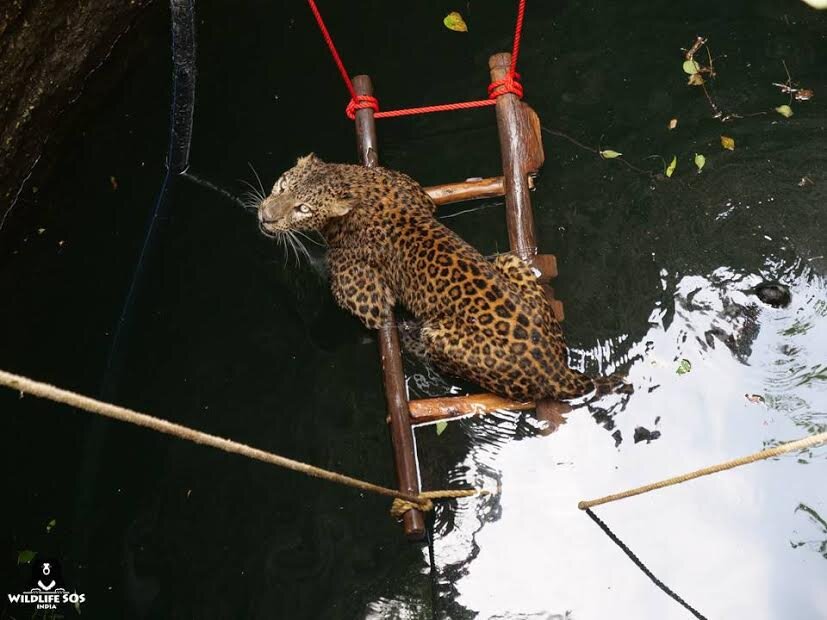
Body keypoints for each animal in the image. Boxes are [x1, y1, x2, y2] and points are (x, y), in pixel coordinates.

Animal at [257, 154, 617, 407]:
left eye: (303, 208)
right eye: (282, 186)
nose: (265, 217)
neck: (354, 184)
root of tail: (558, 370)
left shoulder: (363, 295)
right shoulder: (412, 188)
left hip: (441, 337)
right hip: (508, 260)